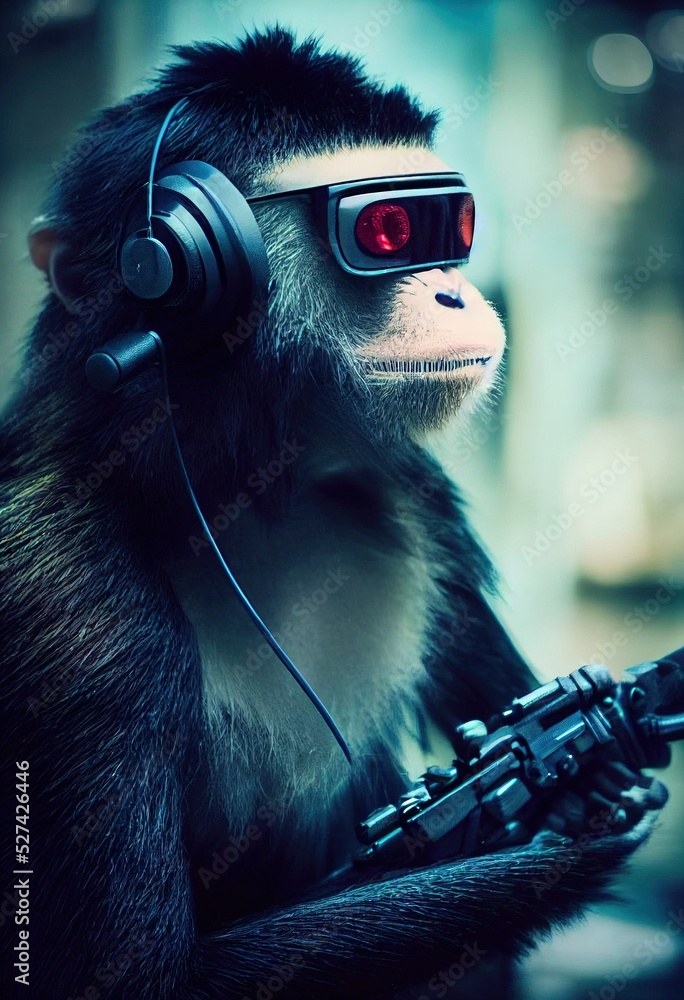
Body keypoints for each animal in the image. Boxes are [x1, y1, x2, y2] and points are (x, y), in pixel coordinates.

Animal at [0, 26, 666, 1000]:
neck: (247, 490)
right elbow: (145, 978)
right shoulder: (65, 593)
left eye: (454, 230)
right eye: (389, 232)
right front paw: (569, 785)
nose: (452, 289)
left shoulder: (418, 489)